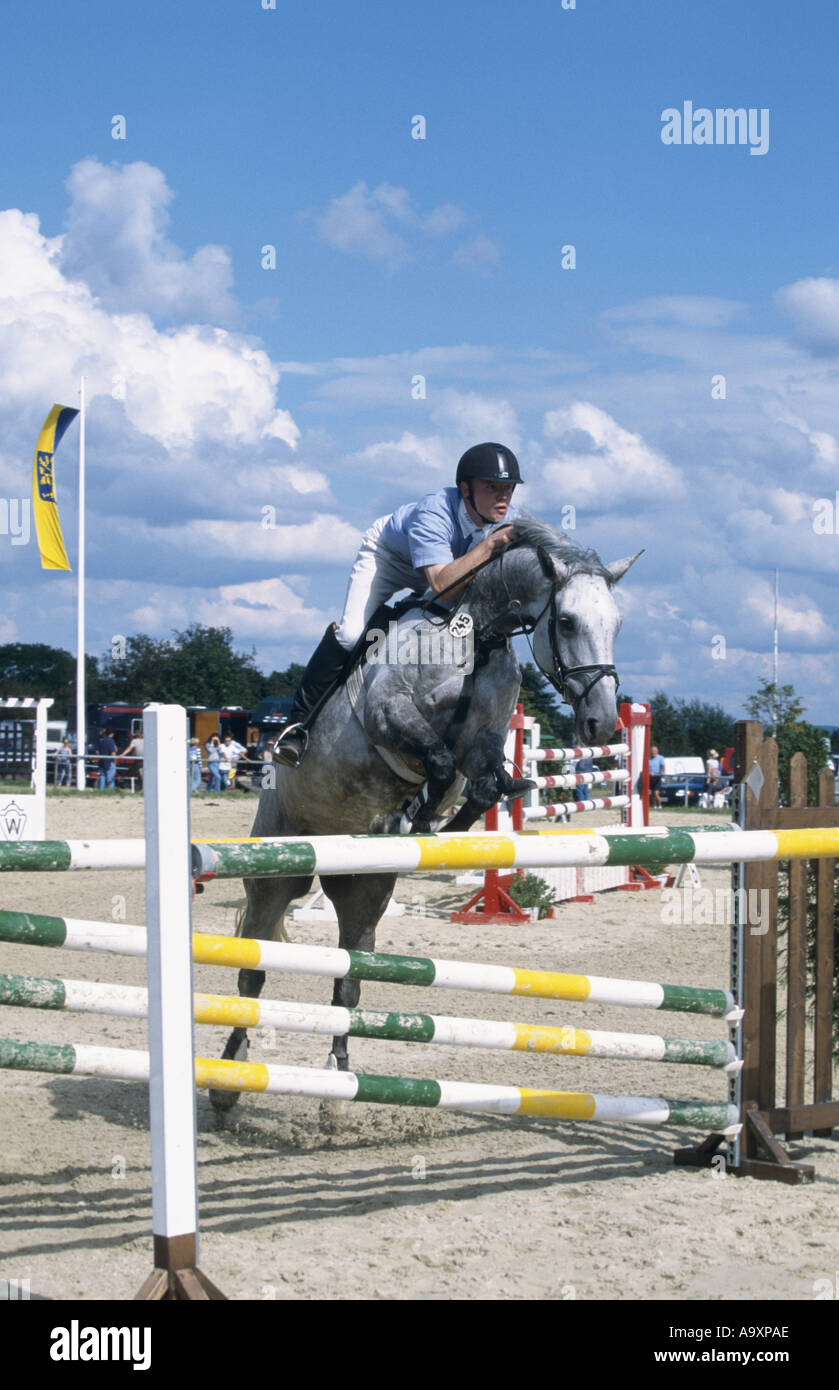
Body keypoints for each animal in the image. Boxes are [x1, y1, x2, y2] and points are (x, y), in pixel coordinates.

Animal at [210, 515, 641, 1110]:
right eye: (568, 621)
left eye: (617, 624)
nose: (602, 723)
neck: (476, 635)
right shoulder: (389, 712)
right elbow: (435, 760)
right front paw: (422, 813)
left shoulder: (482, 742)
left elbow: (484, 786)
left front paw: (434, 824)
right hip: (277, 873)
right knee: (253, 970)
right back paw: (229, 1080)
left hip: (363, 893)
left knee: (349, 978)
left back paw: (336, 1083)